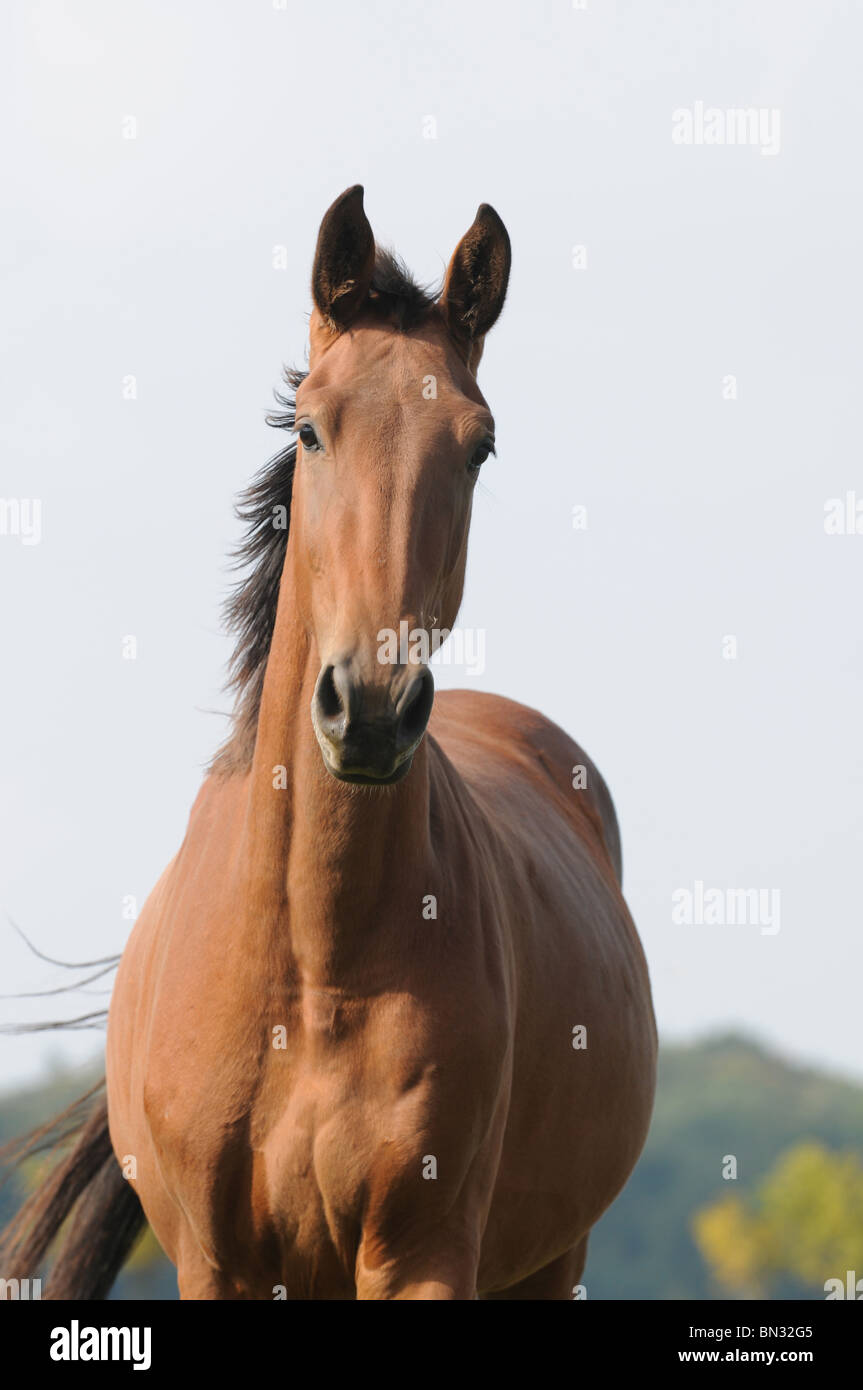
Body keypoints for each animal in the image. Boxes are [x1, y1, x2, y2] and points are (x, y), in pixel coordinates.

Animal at [1, 186, 656, 1300]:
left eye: (478, 446)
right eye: (310, 430)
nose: (373, 706)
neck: (315, 963)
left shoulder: (420, 1256)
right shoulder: (219, 1263)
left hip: (545, 1263)